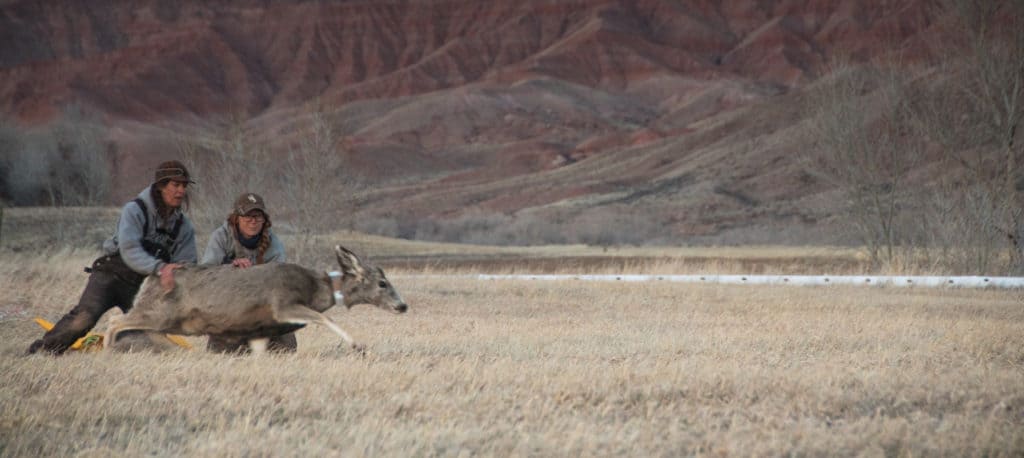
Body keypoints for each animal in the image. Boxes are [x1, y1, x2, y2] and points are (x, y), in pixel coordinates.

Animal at [105, 245, 408, 354]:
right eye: (382, 283)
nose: (402, 305)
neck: (315, 287)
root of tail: (151, 278)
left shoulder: (259, 330)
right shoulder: (281, 305)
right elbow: (325, 316)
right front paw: (358, 345)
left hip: (168, 320)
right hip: (159, 312)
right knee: (115, 320)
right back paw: (108, 350)